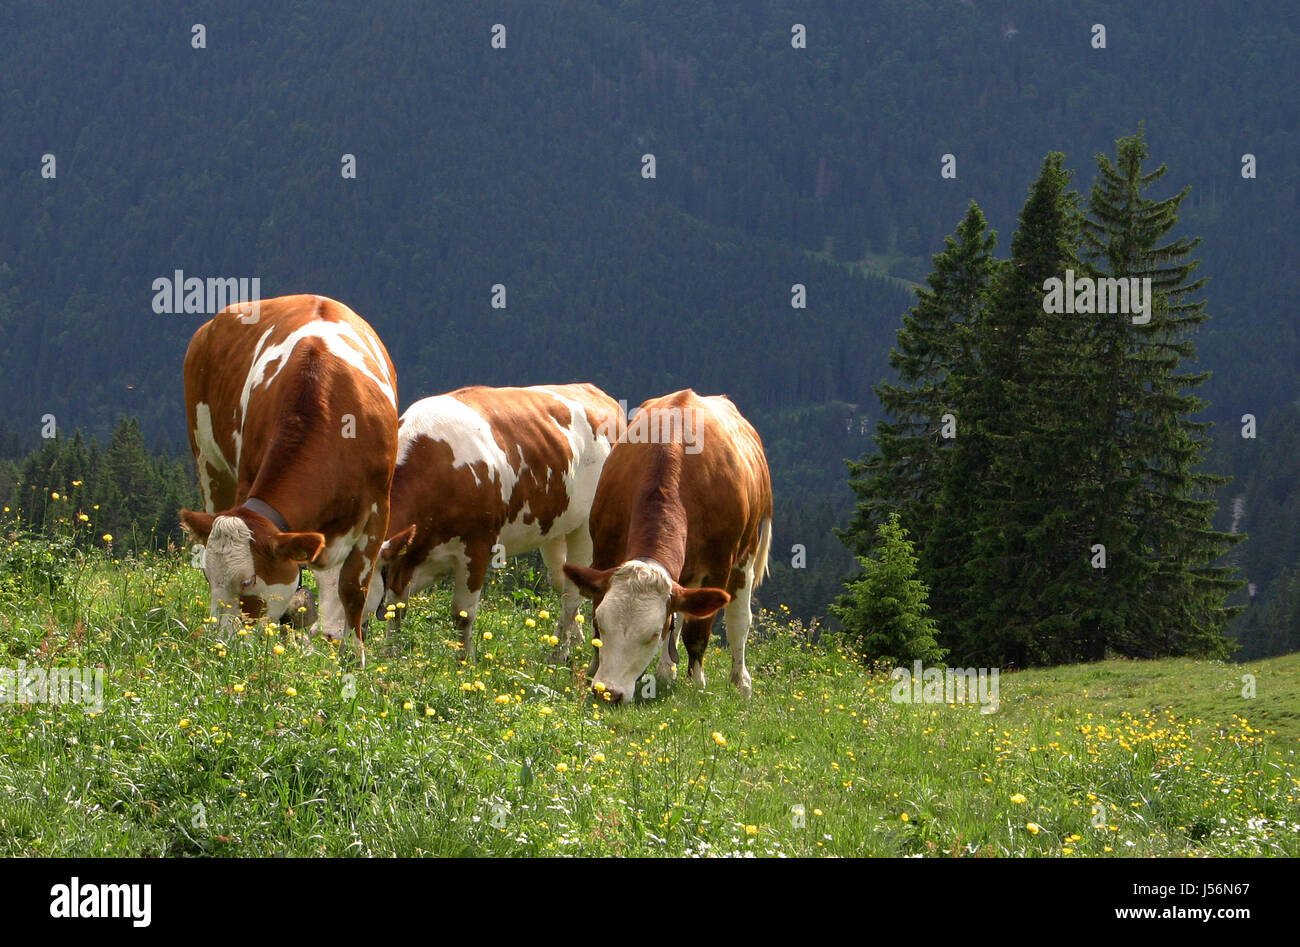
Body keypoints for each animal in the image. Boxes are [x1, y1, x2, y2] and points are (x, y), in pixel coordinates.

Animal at [178, 294, 398, 667]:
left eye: (249, 581)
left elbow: (353, 588)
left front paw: (354, 657)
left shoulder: (378, 510)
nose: (220, 647)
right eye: (208, 575)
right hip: (207, 459)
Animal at [371, 383, 624, 662]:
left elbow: (462, 614)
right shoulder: (404, 557)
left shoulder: (477, 548)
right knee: (562, 583)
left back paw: (558, 656)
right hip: (555, 529)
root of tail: (590, 389)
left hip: (584, 530)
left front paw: (465, 661)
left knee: (571, 594)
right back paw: (573, 642)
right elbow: (396, 608)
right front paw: (390, 655)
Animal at [563, 389, 773, 705]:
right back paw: (666, 671)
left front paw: (696, 684)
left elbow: (697, 632)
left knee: (738, 621)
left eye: (652, 633)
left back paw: (741, 683)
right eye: (602, 622)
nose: (608, 693)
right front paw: (593, 666)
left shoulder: (718, 567)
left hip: (745, 555)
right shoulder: (604, 552)